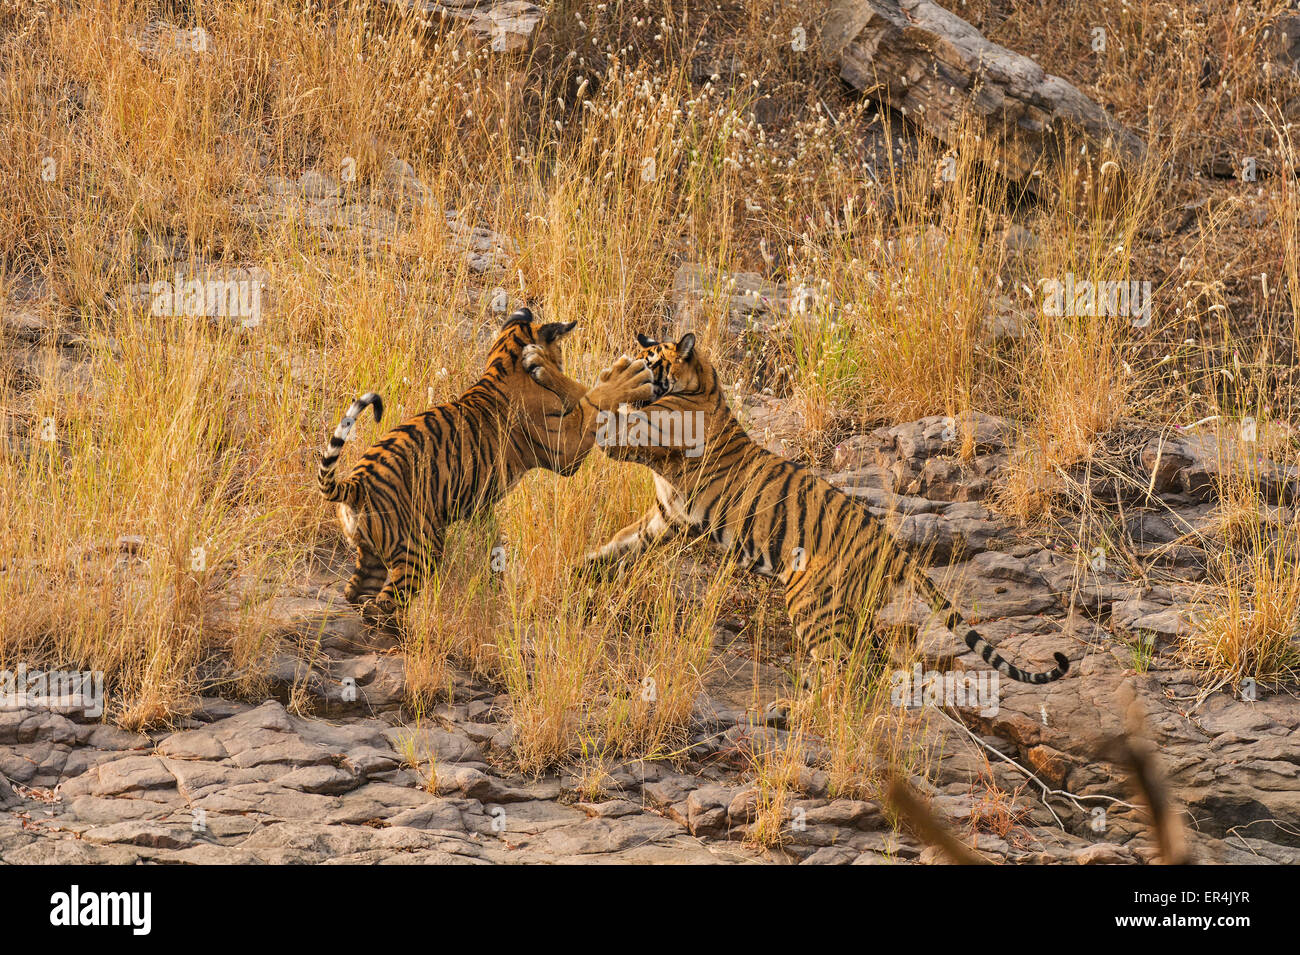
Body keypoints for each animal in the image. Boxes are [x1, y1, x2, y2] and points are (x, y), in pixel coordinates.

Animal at [317, 307, 654, 625]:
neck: (502, 362)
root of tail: (355, 483)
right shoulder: (567, 449)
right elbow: (590, 398)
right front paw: (625, 379)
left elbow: (582, 390)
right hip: (420, 547)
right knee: (384, 603)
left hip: (372, 552)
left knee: (356, 591)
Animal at [530, 330, 1069, 686]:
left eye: (651, 357)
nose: (635, 354)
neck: (702, 385)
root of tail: (892, 546)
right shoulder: (664, 519)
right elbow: (618, 545)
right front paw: (577, 571)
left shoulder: (641, 440)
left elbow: (599, 407)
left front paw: (551, 366)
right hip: (852, 609)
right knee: (868, 663)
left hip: (811, 600)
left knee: (840, 668)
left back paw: (795, 709)